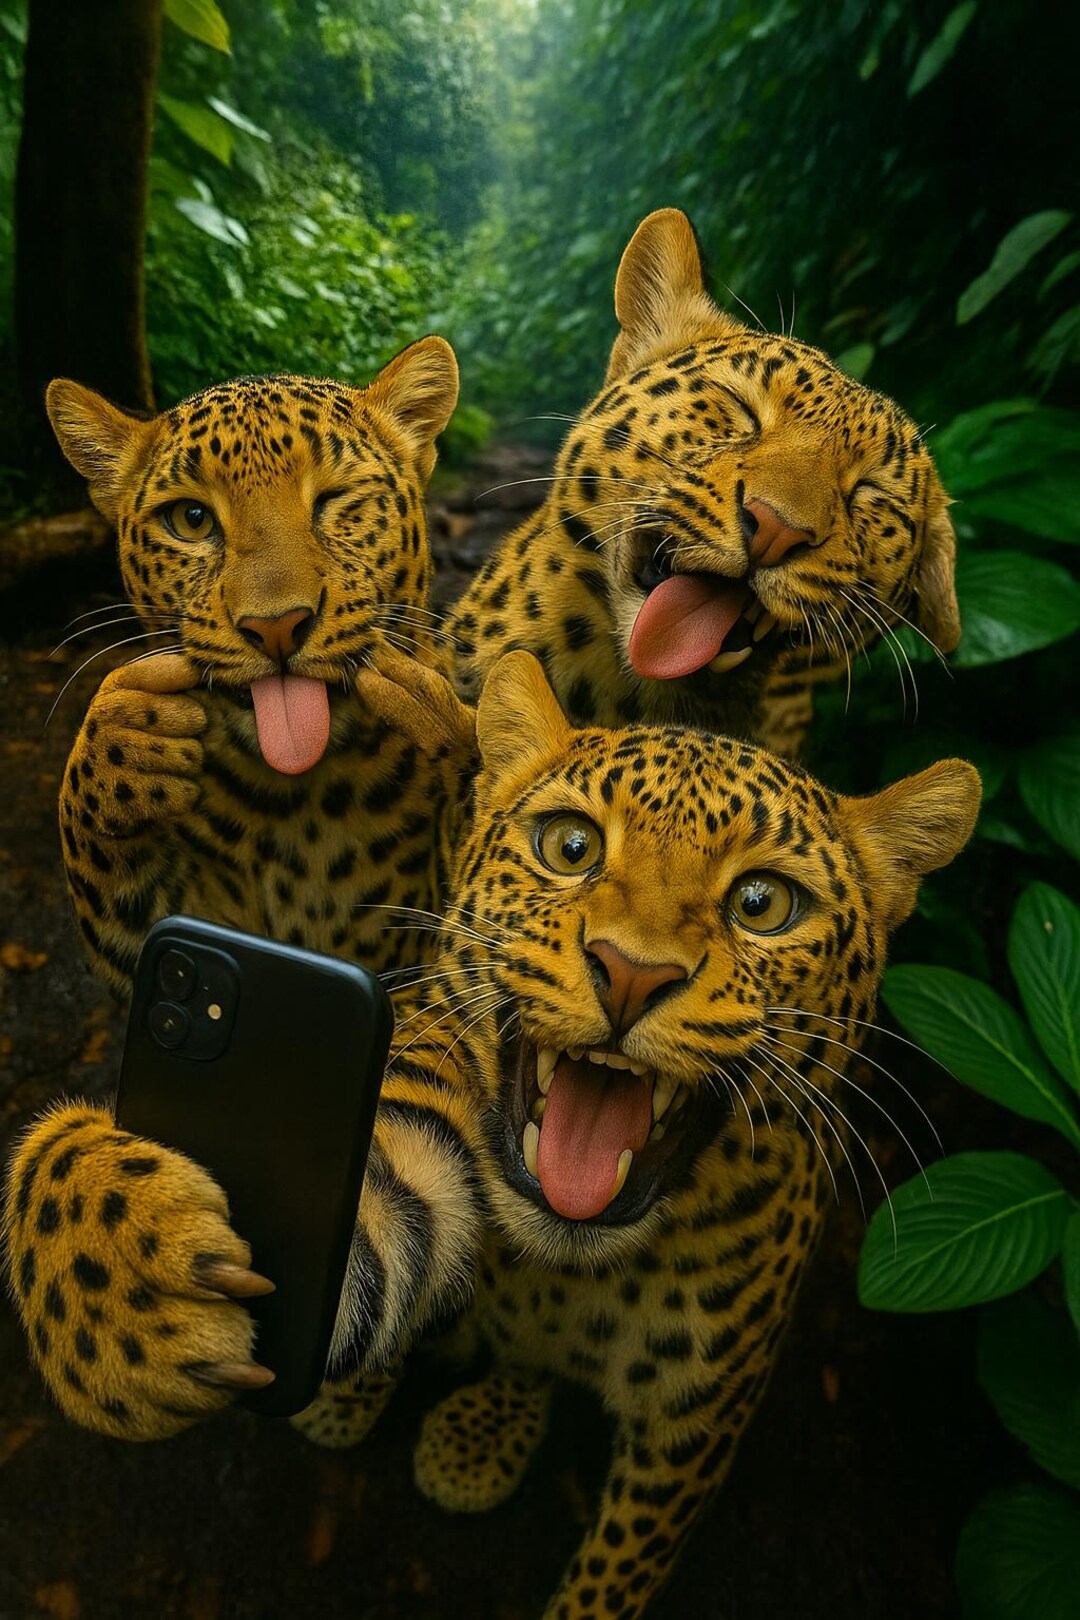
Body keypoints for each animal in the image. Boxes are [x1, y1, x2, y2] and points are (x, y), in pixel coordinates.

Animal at [4, 650, 981, 1620]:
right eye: (571, 847)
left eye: (763, 902)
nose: (632, 973)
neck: (576, 1265)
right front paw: (116, 1276)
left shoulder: (694, 1423)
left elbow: (616, 1574)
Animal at [47, 339, 462, 998]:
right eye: (191, 519)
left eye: (333, 500)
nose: (277, 626)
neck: (299, 801)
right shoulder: (164, 932)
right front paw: (122, 741)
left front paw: (444, 730)